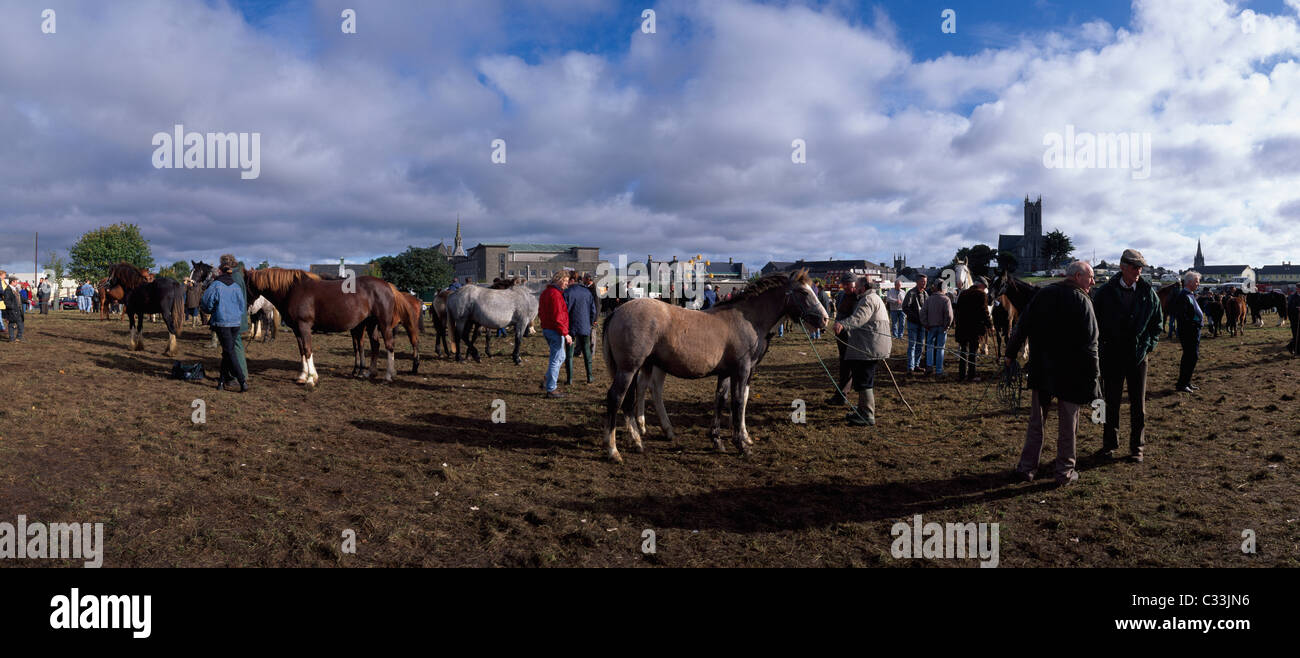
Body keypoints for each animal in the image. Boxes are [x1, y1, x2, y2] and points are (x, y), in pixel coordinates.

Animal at [244, 267, 397, 386]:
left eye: (243, 284)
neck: (292, 291)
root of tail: (388, 285)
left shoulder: (304, 326)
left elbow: (307, 350)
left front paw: (311, 379)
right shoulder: (296, 329)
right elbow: (301, 350)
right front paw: (302, 376)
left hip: (384, 324)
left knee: (389, 345)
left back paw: (389, 376)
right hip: (371, 324)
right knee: (375, 345)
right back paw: (369, 373)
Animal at [601, 269, 829, 463]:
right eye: (803, 292)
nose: (824, 319)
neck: (748, 320)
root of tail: (617, 311)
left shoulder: (726, 373)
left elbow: (721, 400)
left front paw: (718, 440)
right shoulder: (742, 370)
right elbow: (738, 402)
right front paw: (742, 445)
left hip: (636, 368)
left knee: (631, 399)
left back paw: (638, 441)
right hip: (629, 369)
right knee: (616, 398)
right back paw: (613, 450)